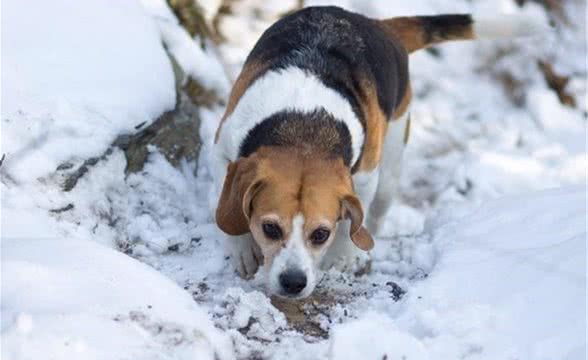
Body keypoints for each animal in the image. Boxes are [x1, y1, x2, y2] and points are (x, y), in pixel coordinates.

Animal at [212, 6, 544, 298]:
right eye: (269, 228)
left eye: (320, 234)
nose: (294, 282)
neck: (305, 128)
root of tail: (379, 25)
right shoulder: (223, 152)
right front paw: (242, 247)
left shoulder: (364, 177)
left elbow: (351, 222)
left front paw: (343, 256)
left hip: (391, 165)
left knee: (377, 213)